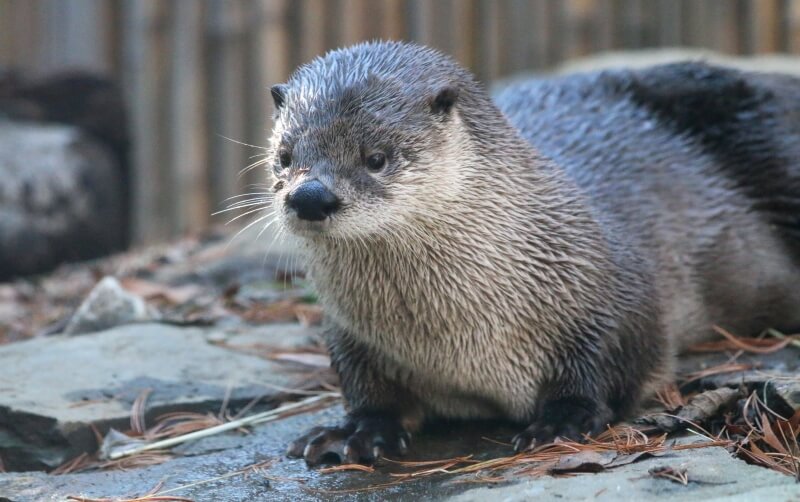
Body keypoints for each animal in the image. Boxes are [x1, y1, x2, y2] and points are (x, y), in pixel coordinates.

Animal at [265, 41, 800, 465]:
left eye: (376, 157)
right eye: (285, 156)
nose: (309, 196)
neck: (455, 340)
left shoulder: (614, 300)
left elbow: (610, 366)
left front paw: (562, 422)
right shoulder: (352, 335)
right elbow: (365, 388)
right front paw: (355, 432)